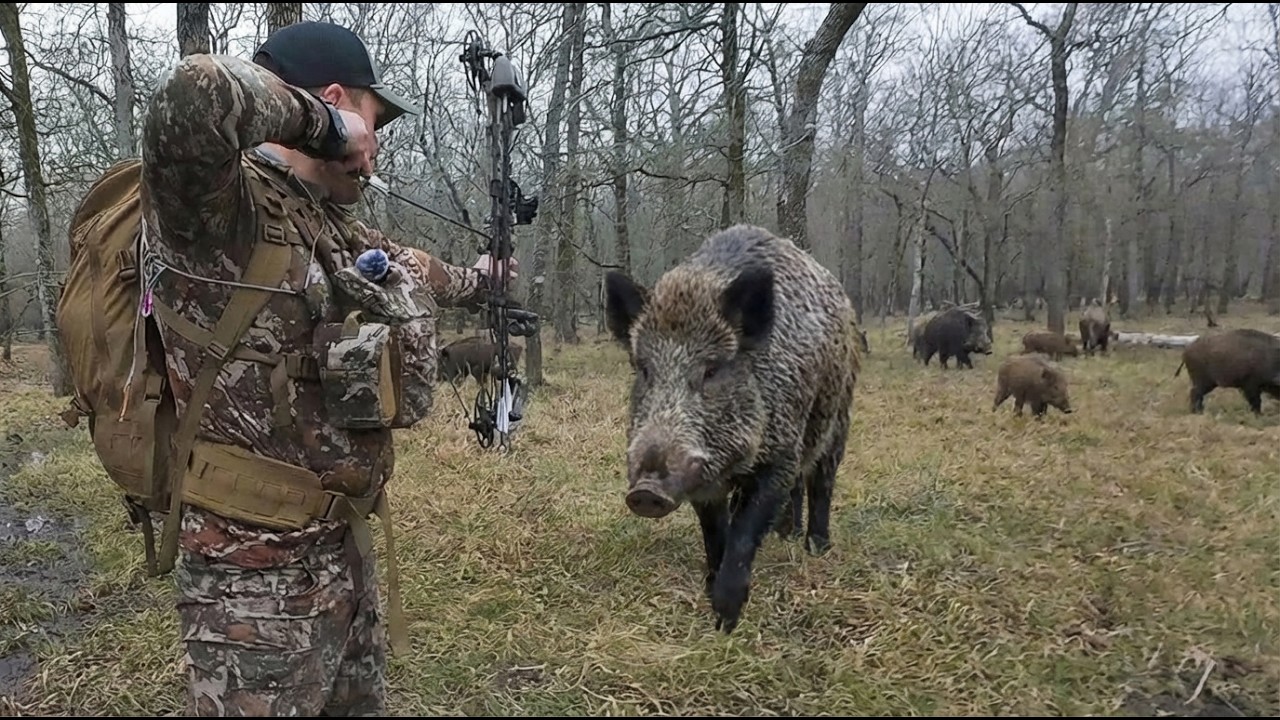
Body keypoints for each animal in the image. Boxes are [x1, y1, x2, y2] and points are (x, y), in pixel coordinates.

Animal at [603, 224, 861, 635]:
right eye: (643, 369)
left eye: (712, 370)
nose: (646, 491)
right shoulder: (704, 482)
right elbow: (715, 534)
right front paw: (711, 593)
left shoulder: (779, 457)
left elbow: (743, 531)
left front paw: (726, 620)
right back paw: (786, 535)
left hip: (839, 415)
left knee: (821, 479)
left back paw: (816, 547)